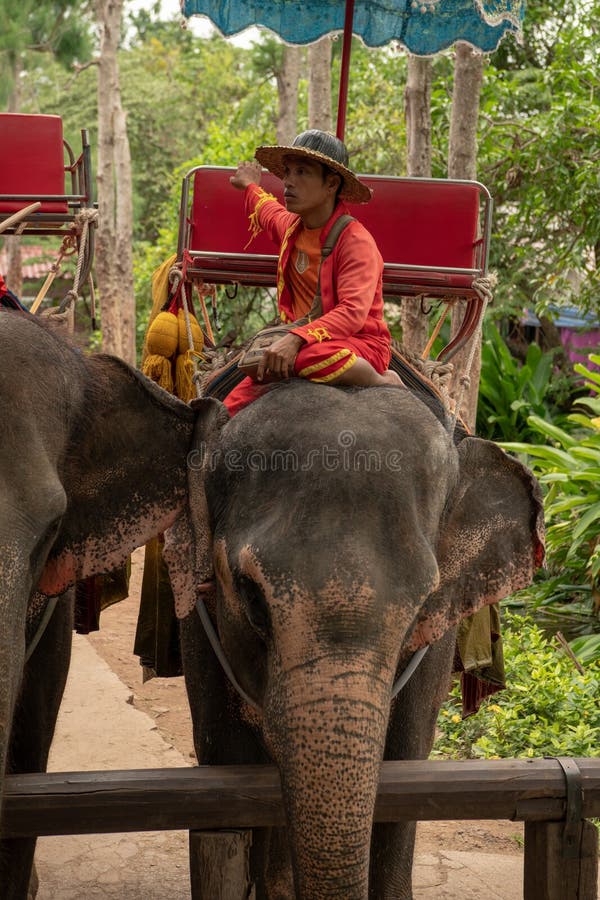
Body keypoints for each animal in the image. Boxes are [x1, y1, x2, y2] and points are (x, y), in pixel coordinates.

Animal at [0, 309, 544, 899]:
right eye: (252, 597)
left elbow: (407, 768)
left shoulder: (435, 646)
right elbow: (228, 766)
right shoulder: (203, 618)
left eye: (422, 604)